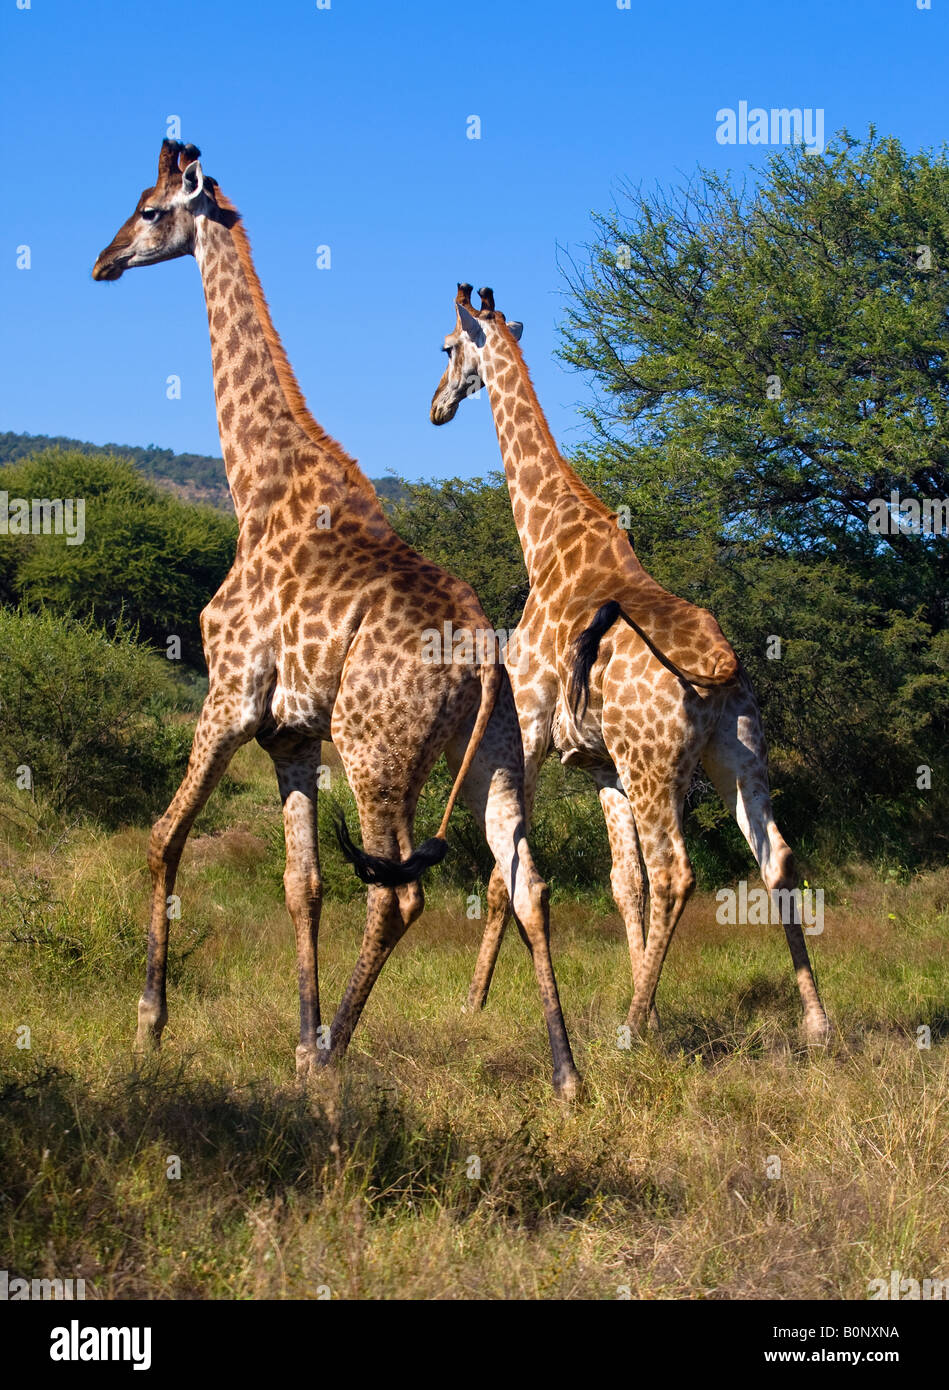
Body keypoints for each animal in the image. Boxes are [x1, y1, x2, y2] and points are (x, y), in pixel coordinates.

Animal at [91, 144, 580, 1097]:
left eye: (151, 209)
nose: (103, 261)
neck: (254, 487)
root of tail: (480, 657)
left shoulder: (229, 696)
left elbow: (164, 840)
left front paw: (148, 1027)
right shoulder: (290, 734)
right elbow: (301, 883)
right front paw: (293, 1034)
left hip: (377, 747)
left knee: (398, 889)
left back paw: (333, 1059)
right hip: (495, 753)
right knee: (526, 879)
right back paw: (566, 1076)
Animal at [429, 284, 830, 1044]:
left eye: (445, 347)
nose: (435, 405)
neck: (546, 541)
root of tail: (719, 668)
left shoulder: (527, 730)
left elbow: (505, 875)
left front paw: (473, 1002)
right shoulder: (601, 767)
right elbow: (624, 882)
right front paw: (647, 987)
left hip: (656, 764)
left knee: (679, 871)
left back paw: (632, 1029)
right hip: (735, 755)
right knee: (776, 859)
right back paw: (816, 1023)